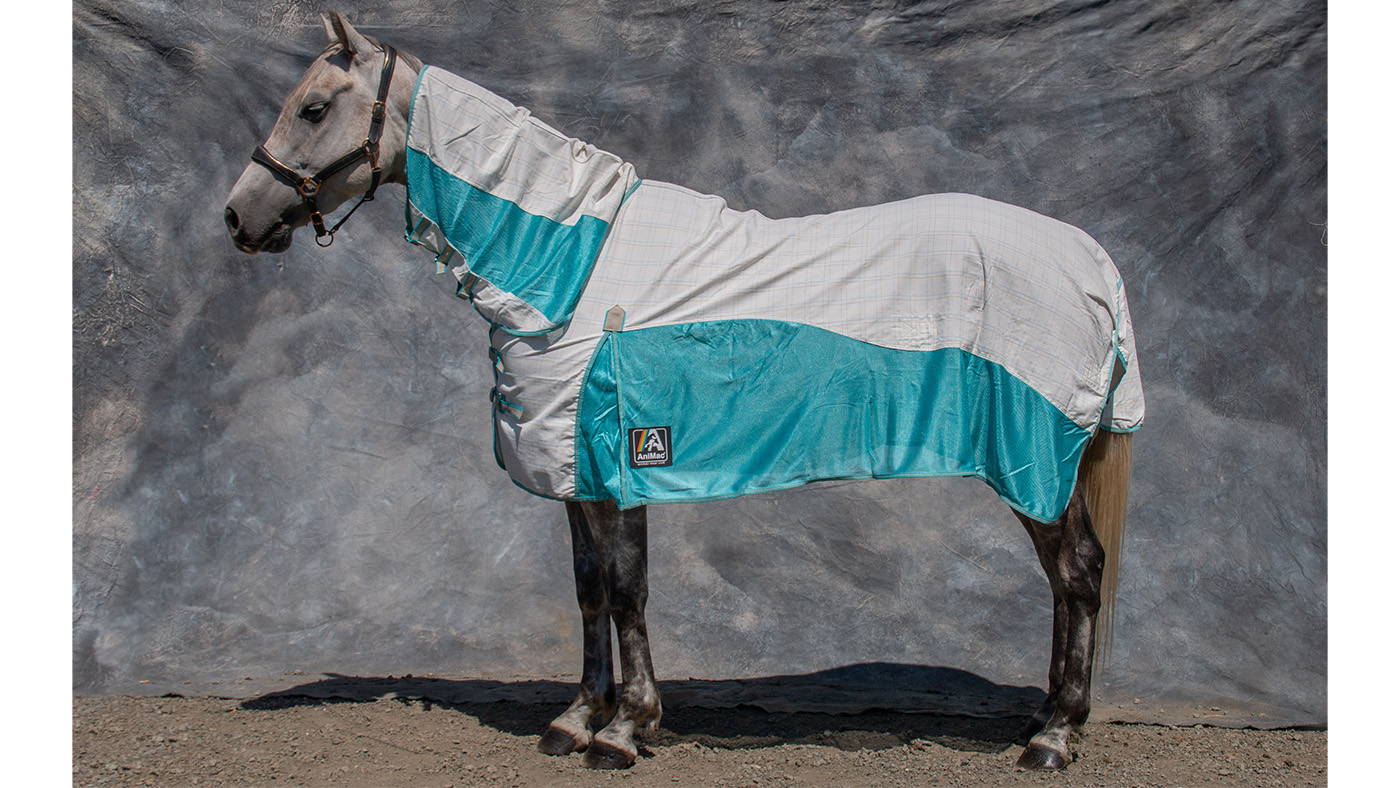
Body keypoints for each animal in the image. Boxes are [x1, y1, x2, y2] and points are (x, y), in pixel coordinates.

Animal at [224, 12, 1142, 772]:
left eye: (314, 109)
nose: (237, 217)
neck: (571, 265)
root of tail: (1090, 257)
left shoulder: (621, 458)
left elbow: (628, 589)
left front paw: (626, 730)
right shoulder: (575, 470)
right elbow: (589, 588)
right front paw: (576, 719)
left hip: (1034, 461)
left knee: (1078, 574)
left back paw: (1056, 736)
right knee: (1069, 580)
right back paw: (1041, 722)